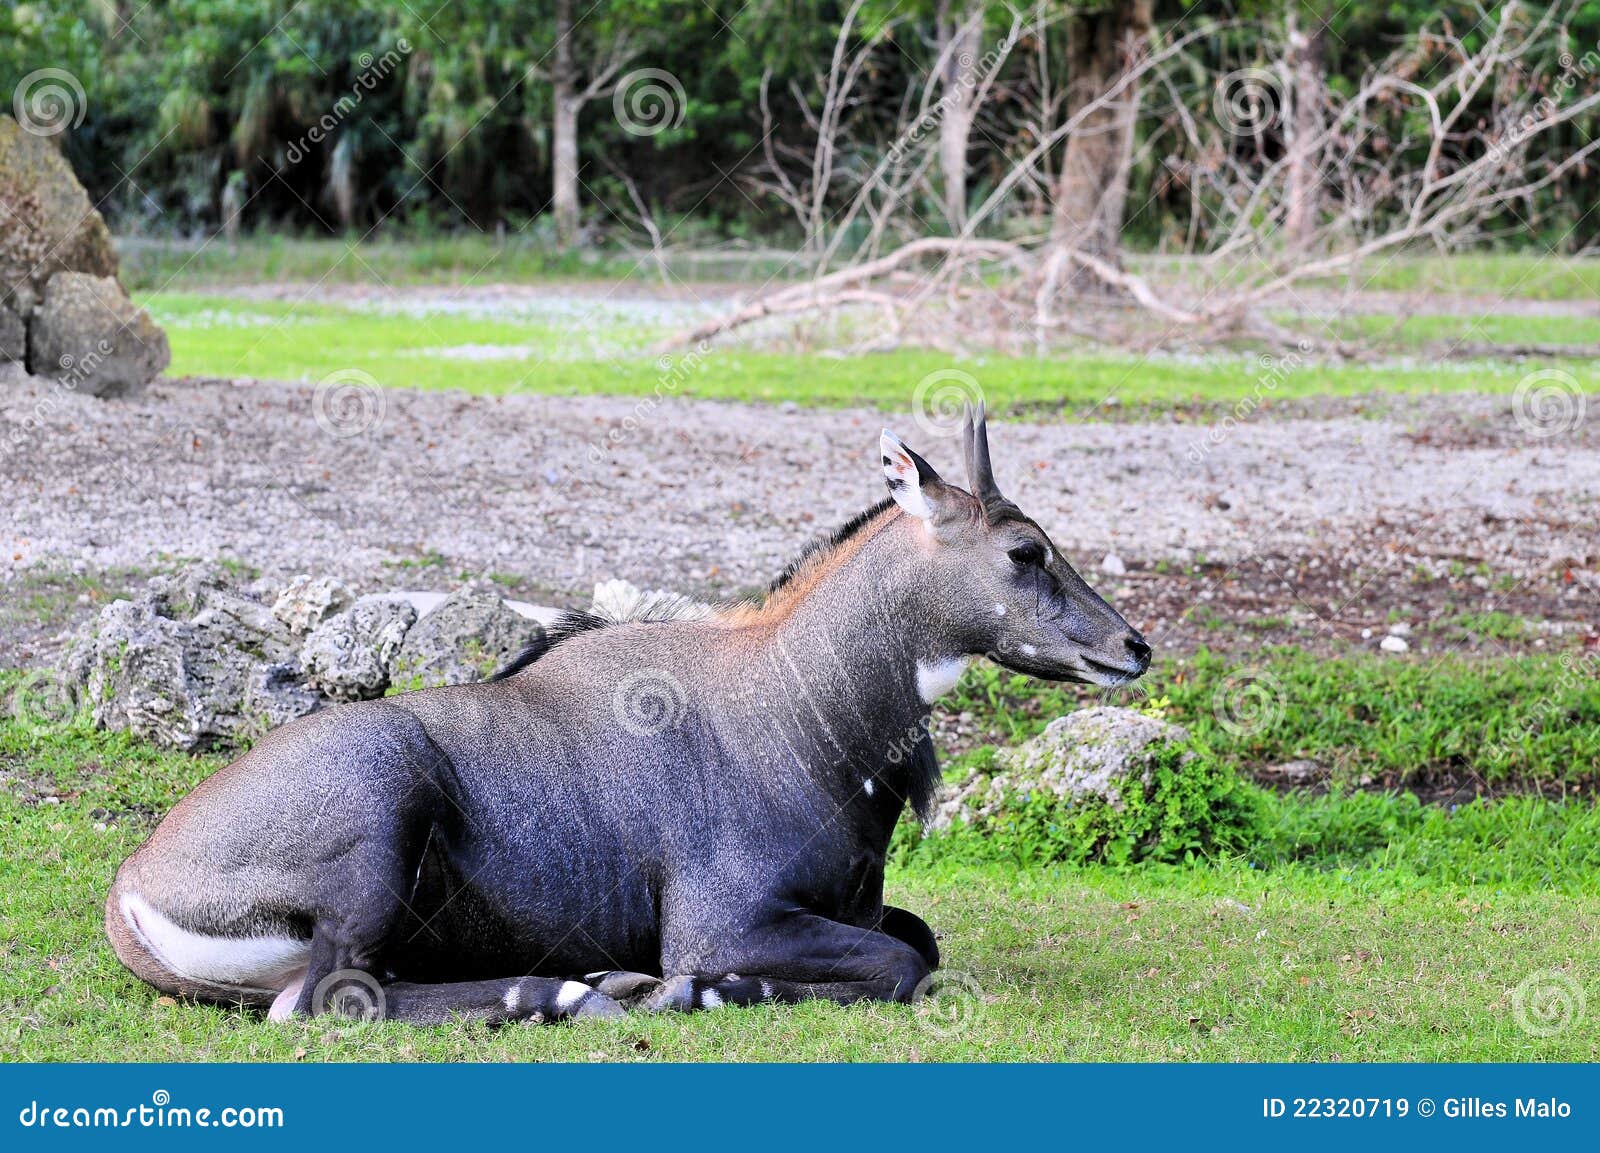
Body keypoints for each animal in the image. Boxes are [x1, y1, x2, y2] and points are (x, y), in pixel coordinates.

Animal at [105, 407, 1150, 1023]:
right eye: (1025, 550)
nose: (1135, 645)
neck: (804, 708)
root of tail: (131, 888)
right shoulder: (722, 920)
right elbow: (902, 963)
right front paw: (711, 989)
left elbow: (920, 935)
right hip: (379, 814)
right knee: (326, 1002)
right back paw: (580, 989)